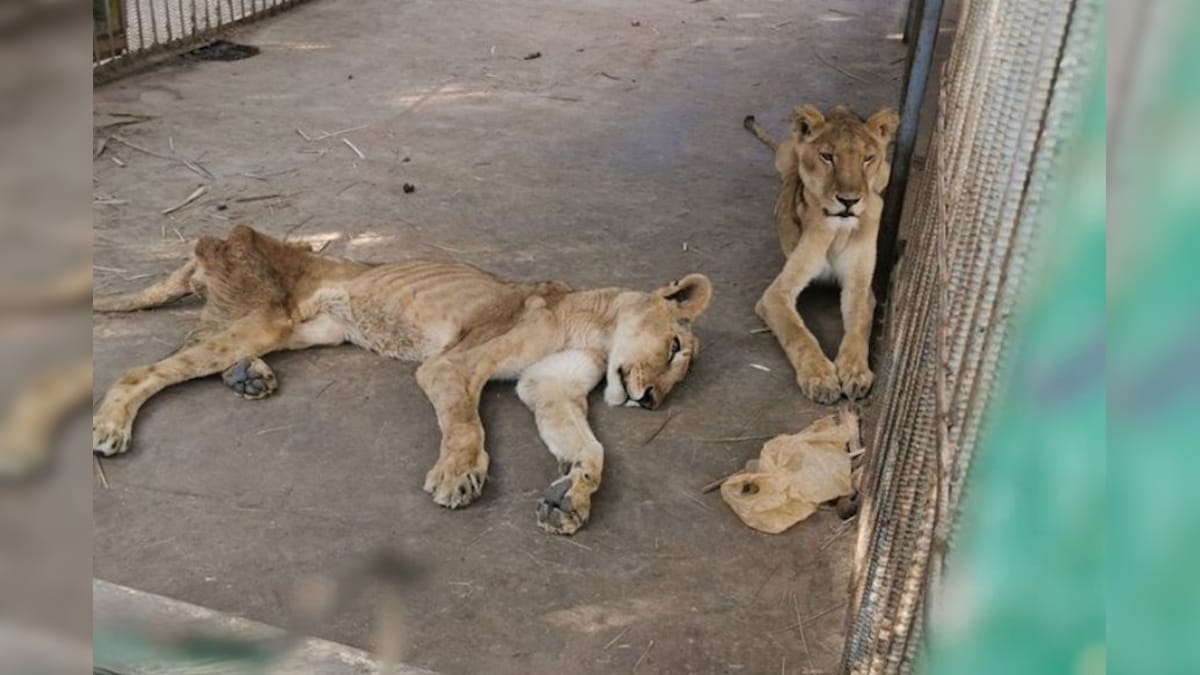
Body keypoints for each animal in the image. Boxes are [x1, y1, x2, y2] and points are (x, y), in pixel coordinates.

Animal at [91, 225, 713, 535]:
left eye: (679, 377)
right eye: (675, 348)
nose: (651, 401)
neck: (594, 330)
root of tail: (218, 239)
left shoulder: (547, 388)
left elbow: (590, 450)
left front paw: (570, 500)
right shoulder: (451, 365)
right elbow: (466, 424)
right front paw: (459, 476)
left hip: (302, 331)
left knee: (201, 352)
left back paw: (249, 376)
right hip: (259, 315)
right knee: (144, 369)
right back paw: (110, 428)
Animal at [743, 104, 899, 403]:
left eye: (867, 159)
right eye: (827, 157)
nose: (849, 201)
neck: (838, 231)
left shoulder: (860, 287)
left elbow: (858, 326)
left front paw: (855, 372)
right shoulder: (775, 295)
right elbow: (798, 333)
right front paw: (820, 378)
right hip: (787, 157)